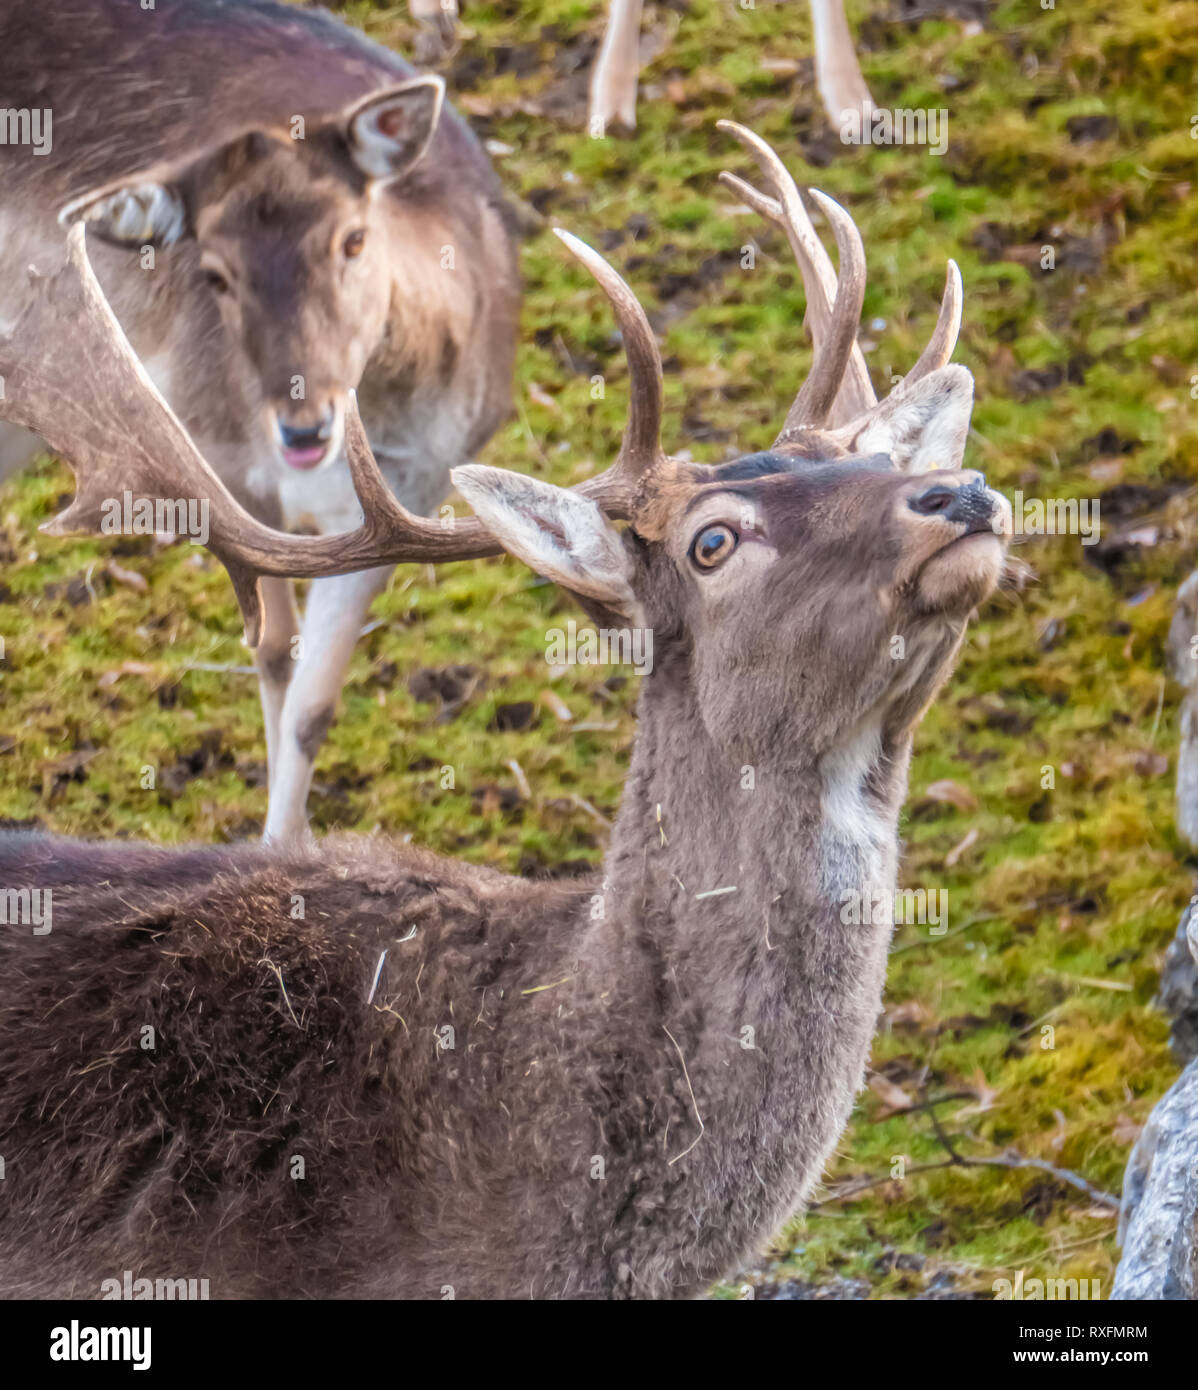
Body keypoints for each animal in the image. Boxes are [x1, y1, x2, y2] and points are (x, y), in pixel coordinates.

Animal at [0, 0, 520, 843]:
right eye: (214, 273)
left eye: (353, 238)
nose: (304, 429)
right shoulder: (225, 465)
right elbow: (274, 653)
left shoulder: (417, 494)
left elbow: (314, 705)